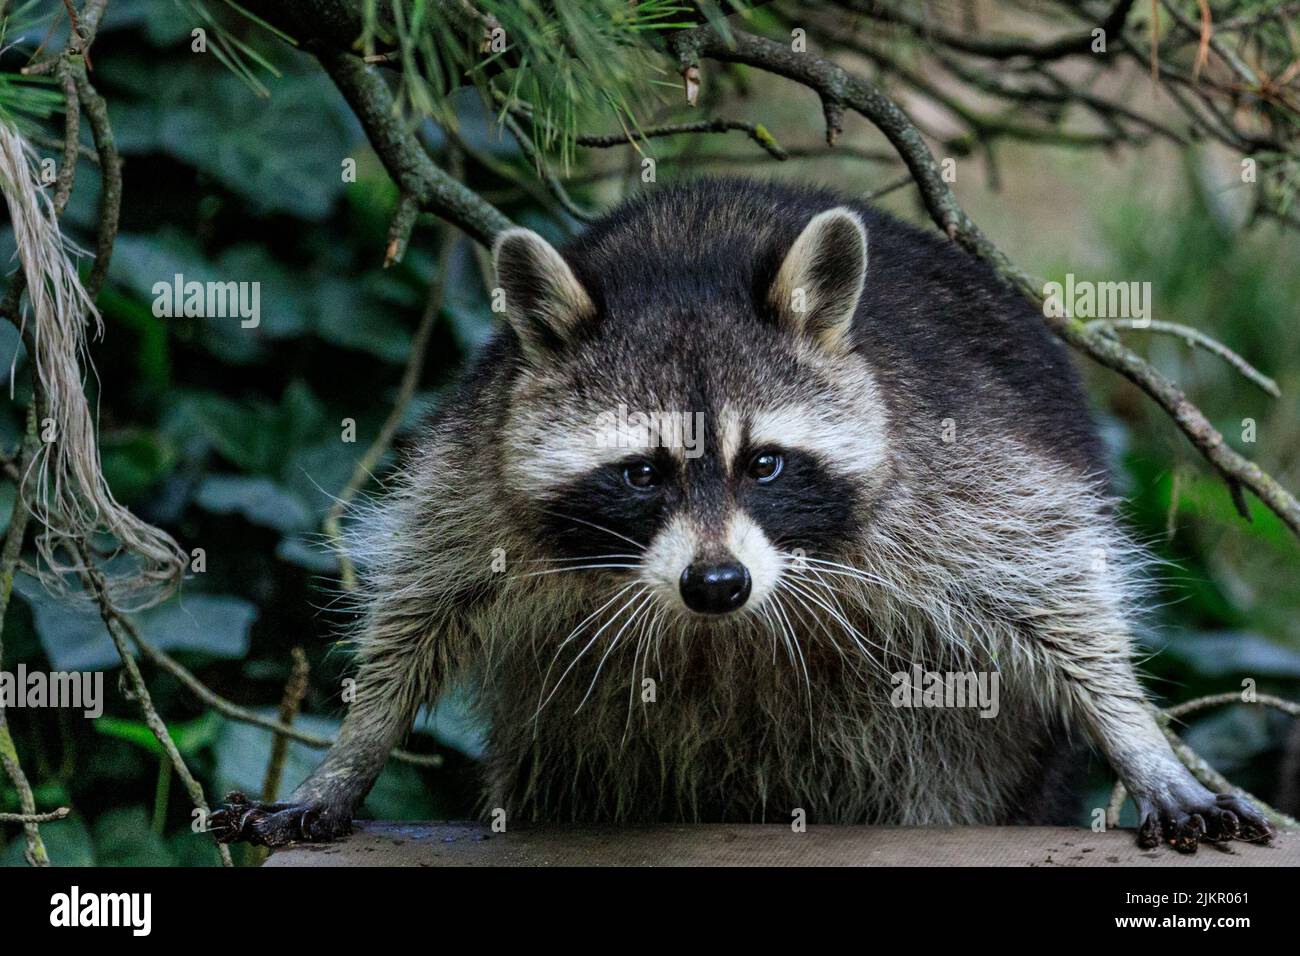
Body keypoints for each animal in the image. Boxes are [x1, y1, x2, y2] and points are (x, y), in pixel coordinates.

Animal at [213, 179, 1271, 853]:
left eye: (764, 465)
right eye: (642, 474)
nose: (717, 585)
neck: (686, 259)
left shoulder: (941, 462)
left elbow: (1051, 581)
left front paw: (1137, 737)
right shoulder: (482, 460)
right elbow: (422, 599)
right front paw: (352, 751)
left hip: (958, 755)